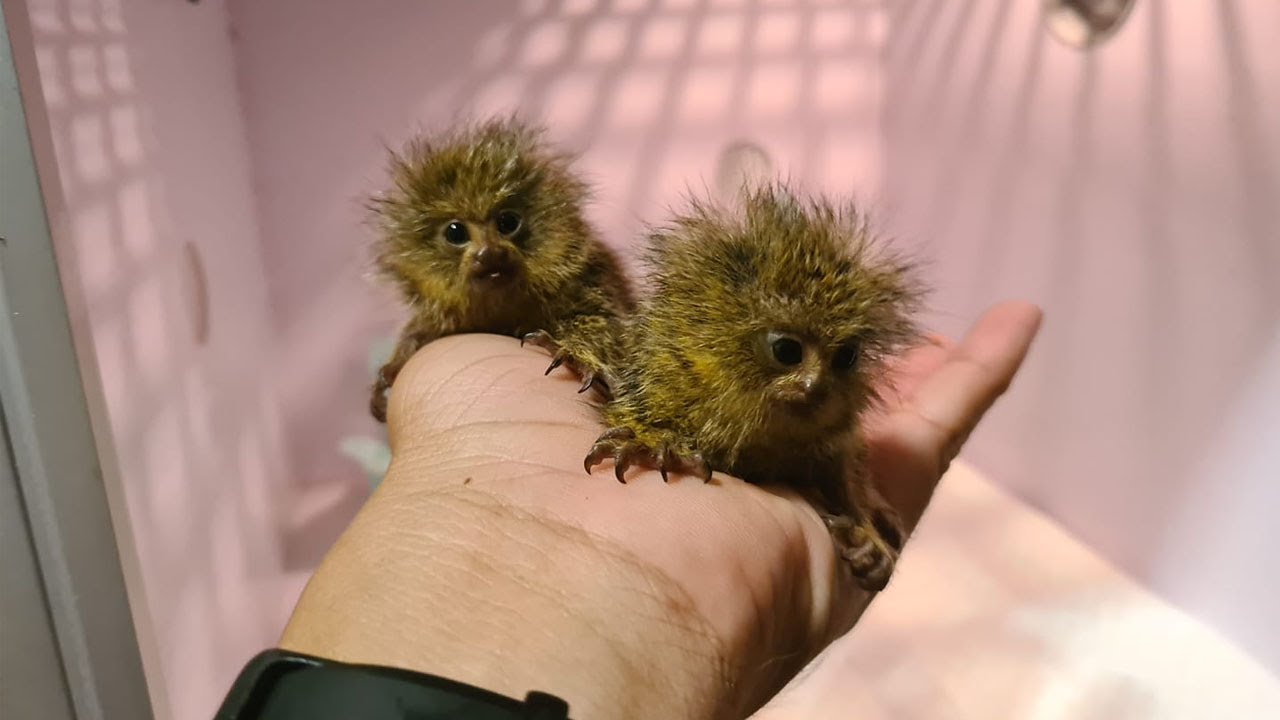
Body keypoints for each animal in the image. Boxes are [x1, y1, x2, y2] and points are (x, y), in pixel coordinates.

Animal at [367, 117, 634, 422]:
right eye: (455, 233)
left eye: (508, 222)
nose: (490, 253)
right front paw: (394, 364)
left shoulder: (591, 276)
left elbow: (608, 322)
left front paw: (575, 354)